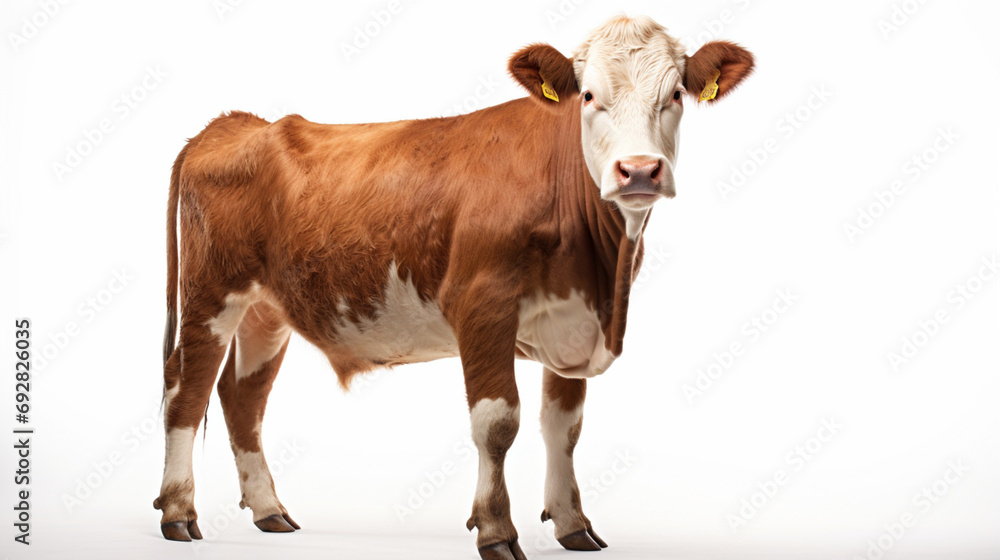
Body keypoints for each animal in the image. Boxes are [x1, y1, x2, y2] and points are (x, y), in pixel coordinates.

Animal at [154, 14, 754, 560]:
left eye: (675, 93)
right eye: (587, 95)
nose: (640, 171)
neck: (603, 271)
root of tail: (230, 124)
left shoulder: (573, 319)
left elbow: (564, 427)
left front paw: (572, 524)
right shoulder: (482, 305)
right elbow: (497, 422)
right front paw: (496, 530)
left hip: (266, 310)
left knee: (242, 397)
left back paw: (269, 510)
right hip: (210, 293)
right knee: (187, 390)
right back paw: (178, 512)